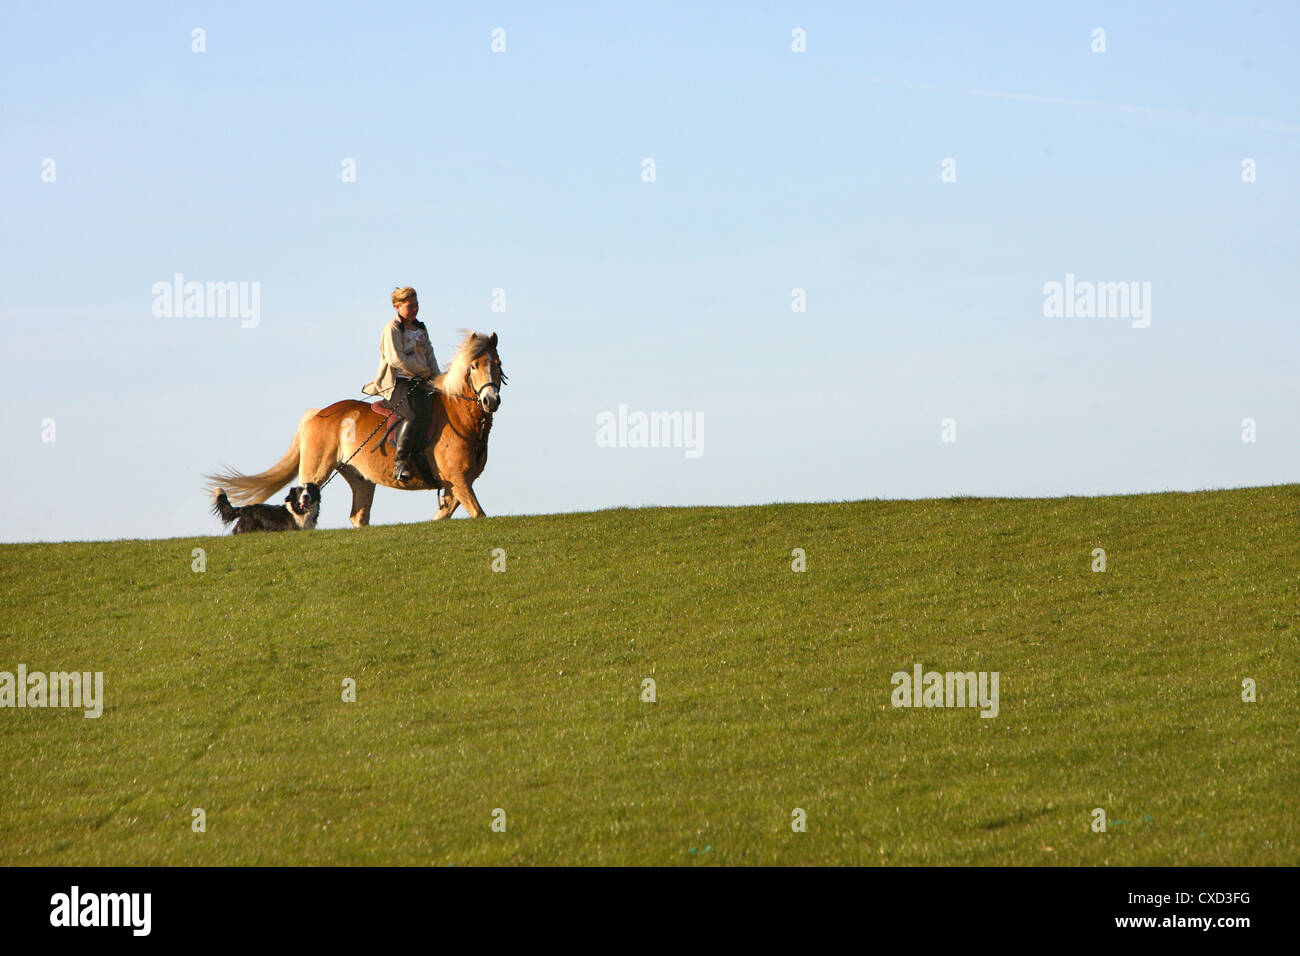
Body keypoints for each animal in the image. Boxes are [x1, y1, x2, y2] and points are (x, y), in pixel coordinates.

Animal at [206, 331, 505, 525]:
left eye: (497, 363)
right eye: (474, 365)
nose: (491, 400)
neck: (460, 417)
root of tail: (318, 414)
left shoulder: (458, 484)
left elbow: (446, 514)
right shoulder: (458, 480)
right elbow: (478, 513)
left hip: (360, 478)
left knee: (358, 517)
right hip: (314, 471)